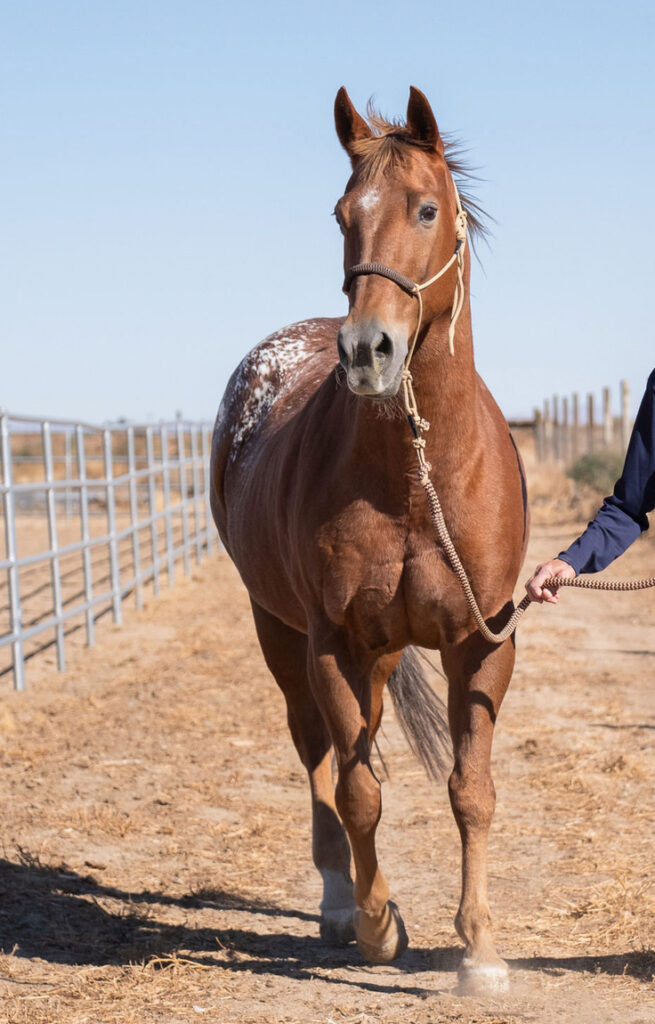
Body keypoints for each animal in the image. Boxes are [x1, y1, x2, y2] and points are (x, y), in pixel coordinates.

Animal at [210, 86, 529, 993]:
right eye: (341, 213)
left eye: (425, 208)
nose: (366, 350)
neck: (416, 478)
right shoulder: (332, 642)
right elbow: (356, 792)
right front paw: (380, 927)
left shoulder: (481, 644)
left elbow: (470, 790)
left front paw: (479, 952)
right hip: (282, 636)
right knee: (320, 754)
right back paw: (340, 903)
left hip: (383, 657)